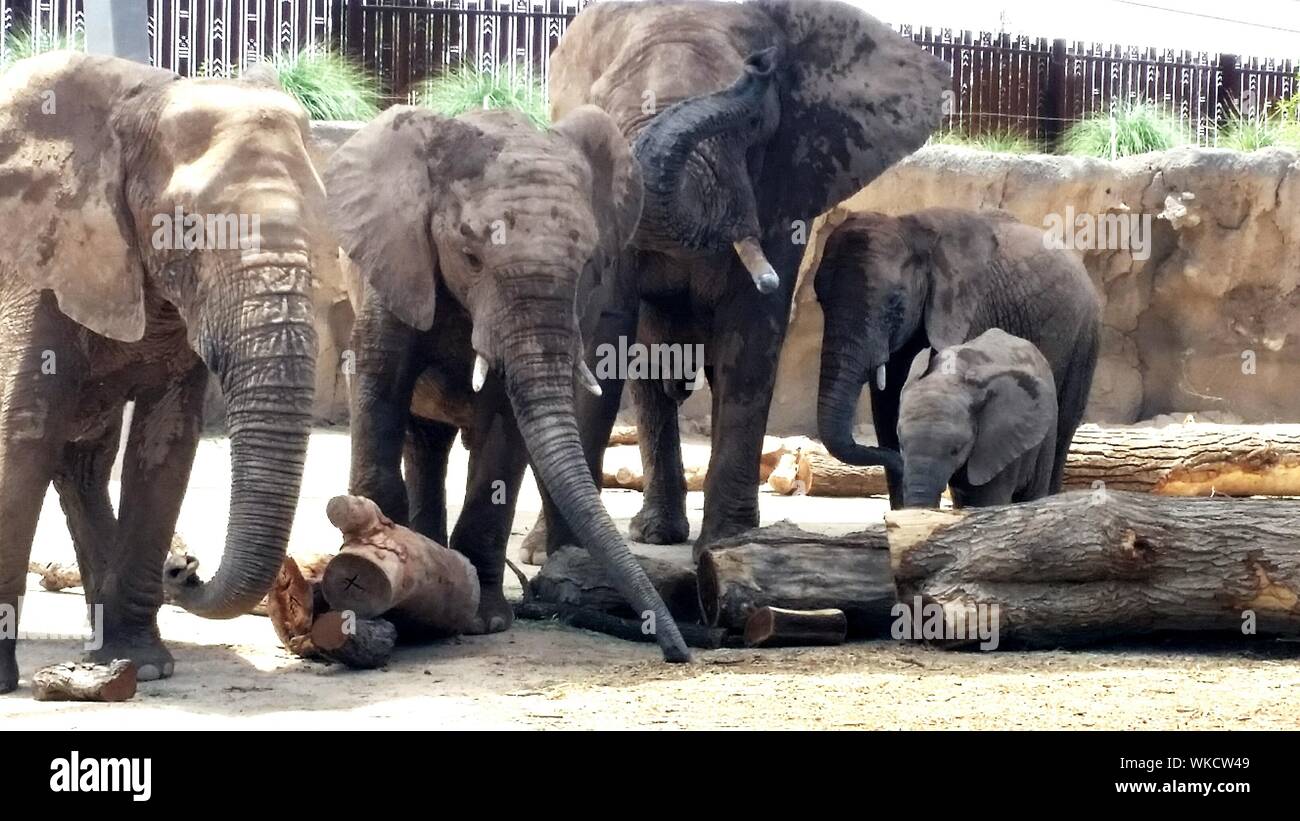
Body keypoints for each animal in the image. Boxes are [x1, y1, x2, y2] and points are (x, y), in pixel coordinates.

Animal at [0, 52, 330, 693]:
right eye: (188, 231)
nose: (185, 567)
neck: (145, 99)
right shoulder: (29, 258)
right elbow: (22, 432)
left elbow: (166, 443)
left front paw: (143, 666)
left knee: (83, 461)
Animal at [324, 105, 691, 662]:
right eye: (470, 255)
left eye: (588, 263)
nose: (678, 652)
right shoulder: (397, 263)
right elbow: (377, 387)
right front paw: (387, 588)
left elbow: (503, 427)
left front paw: (485, 620)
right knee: (419, 437)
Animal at [521, 0, 950, 561]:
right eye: (602, 114)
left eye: (755, 125)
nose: (761, 65)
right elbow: (603, 332)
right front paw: (555, 557)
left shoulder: (788, 187)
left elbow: (749, 337)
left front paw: (728, 548)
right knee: (651, 378)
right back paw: (649, 535)